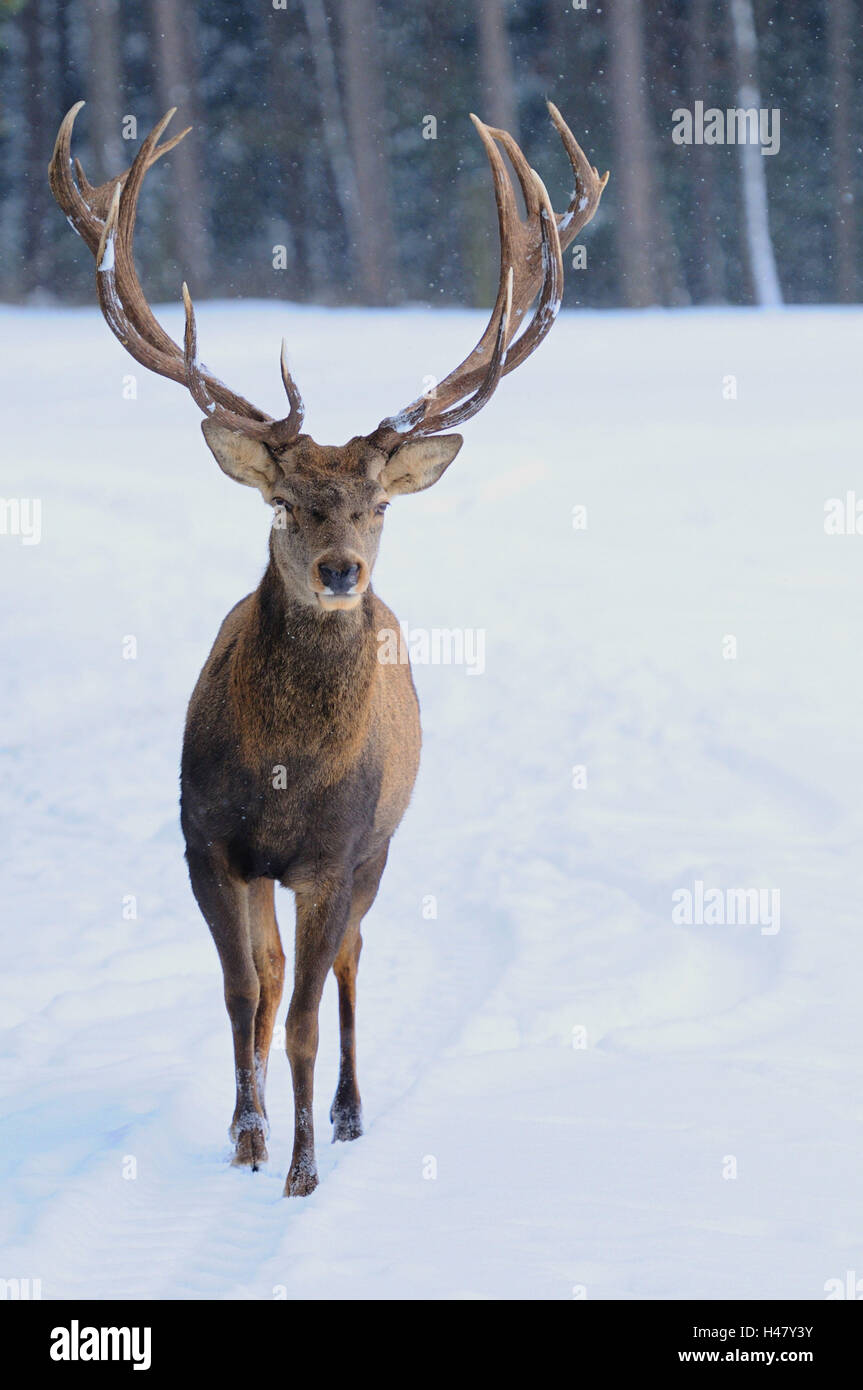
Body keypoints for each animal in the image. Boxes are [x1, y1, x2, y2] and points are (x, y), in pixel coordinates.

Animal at [49, 101, 607, 1196]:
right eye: (283, 499)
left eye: (377, 502)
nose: (342, 571)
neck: (282, 775)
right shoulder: (207, 843)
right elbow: (246, 995)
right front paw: (248, 1136)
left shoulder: (335, 853)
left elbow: (307, 1010)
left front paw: (304, 1163)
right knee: (275, 978)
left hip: (382, 846)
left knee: (350, 961)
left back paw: (346, 1113)